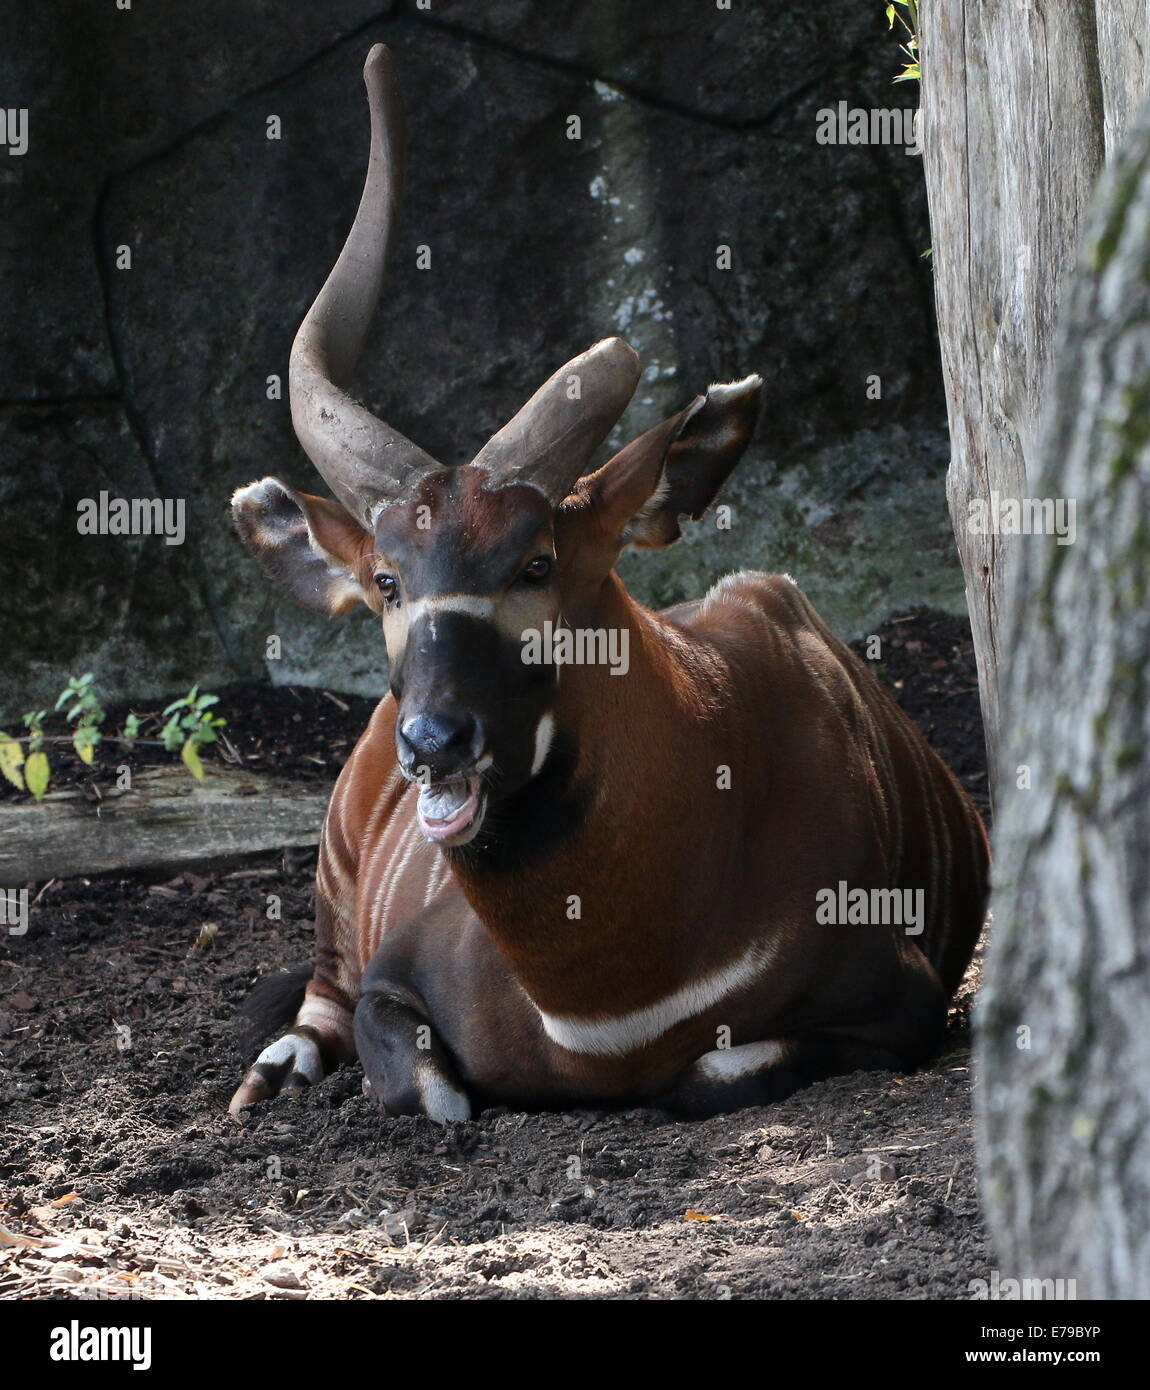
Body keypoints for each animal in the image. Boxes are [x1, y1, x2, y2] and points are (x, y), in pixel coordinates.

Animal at [229, 45, 989, 1124]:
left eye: (537, 561)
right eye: (385, 579)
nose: (434, 743)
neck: (603, 1004)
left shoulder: (904, 1005)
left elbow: (708, 1072)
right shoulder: (389, 984)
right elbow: (426, 1084)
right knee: (321, 994)